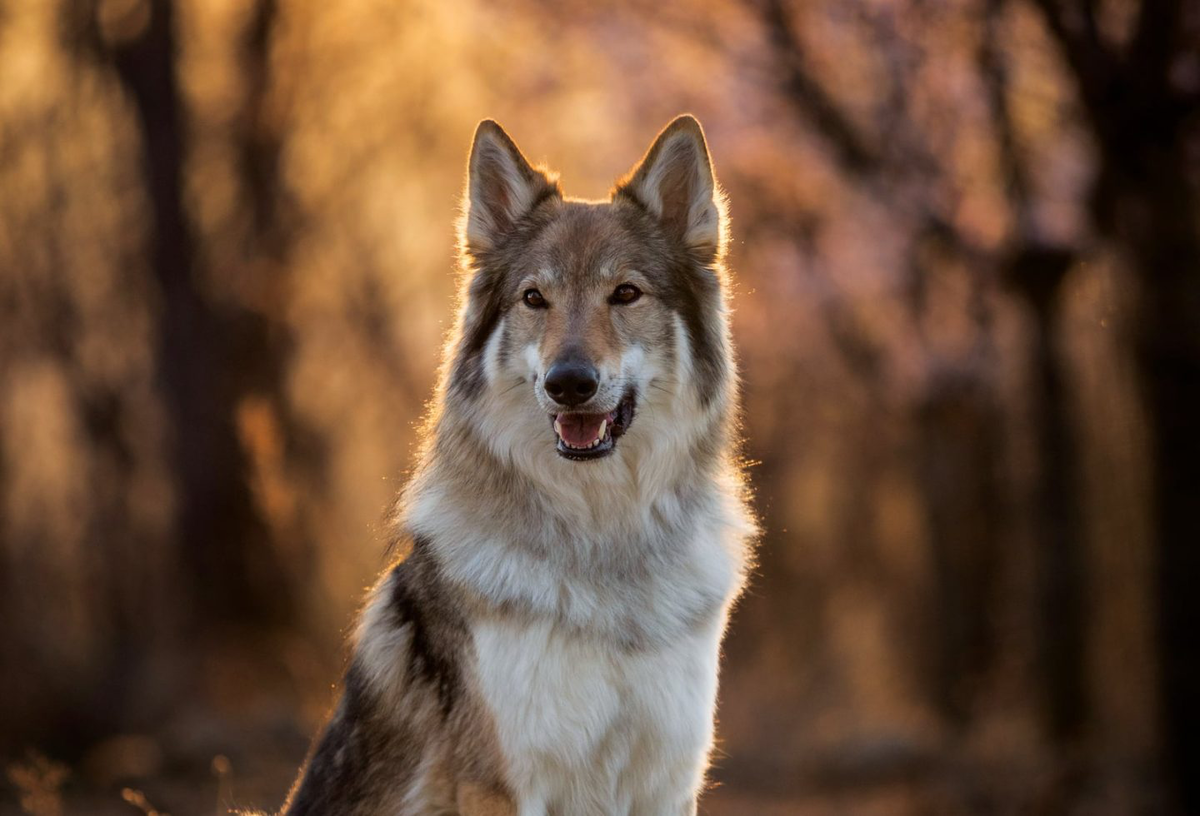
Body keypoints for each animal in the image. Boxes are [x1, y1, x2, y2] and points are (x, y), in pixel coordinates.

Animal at [278, 115, 756, 815]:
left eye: (626, 294)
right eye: (535, 298)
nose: (569, 383)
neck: (604, 544)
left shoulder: (668, 783)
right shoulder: (500, 784)